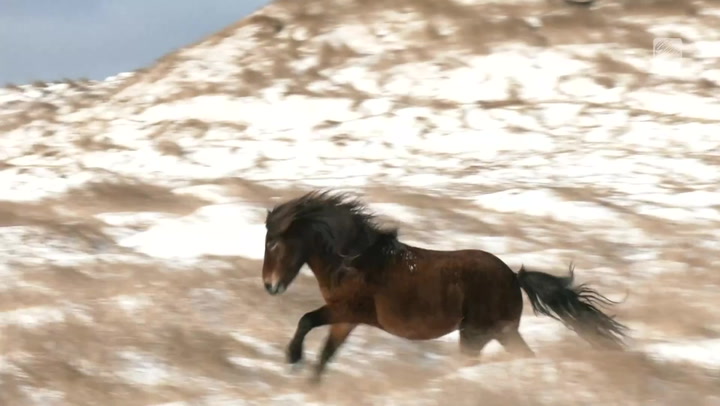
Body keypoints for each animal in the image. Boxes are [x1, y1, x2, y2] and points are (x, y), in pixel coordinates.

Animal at [261, 190, 629, 382]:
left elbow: (307, 320)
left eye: (275, 244)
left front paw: (293, 358)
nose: (269, 286)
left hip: (476, 334)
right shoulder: (346, 320)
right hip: (500, 332)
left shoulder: (346, 310)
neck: (355, 260)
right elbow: (326, 354)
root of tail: (513, 277)